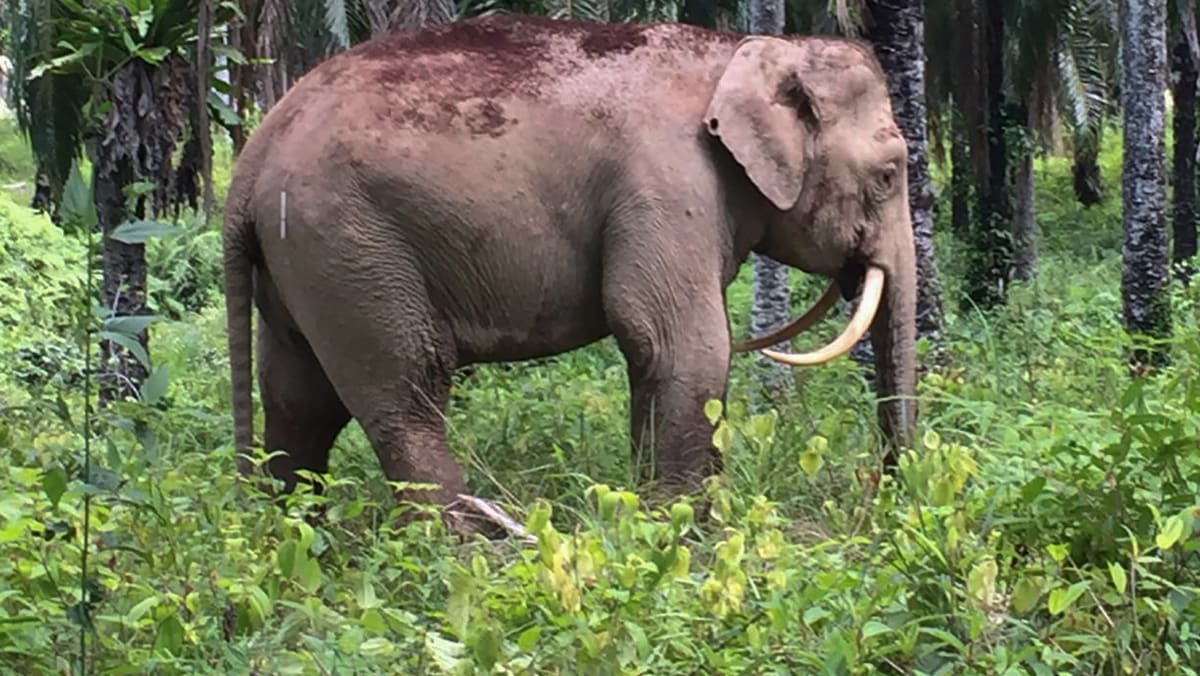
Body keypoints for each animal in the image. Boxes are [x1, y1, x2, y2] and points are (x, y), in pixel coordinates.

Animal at [221, 14, 918, 514]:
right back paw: (473, 546)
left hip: (302, 259)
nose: (886, 493)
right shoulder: (667, 183)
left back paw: (298, 541)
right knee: (406, 391)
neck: (743, 51)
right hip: (351, 243)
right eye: (889, 173)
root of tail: (253, 158)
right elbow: (677, 343)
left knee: (298, 397)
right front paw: (679, 531)